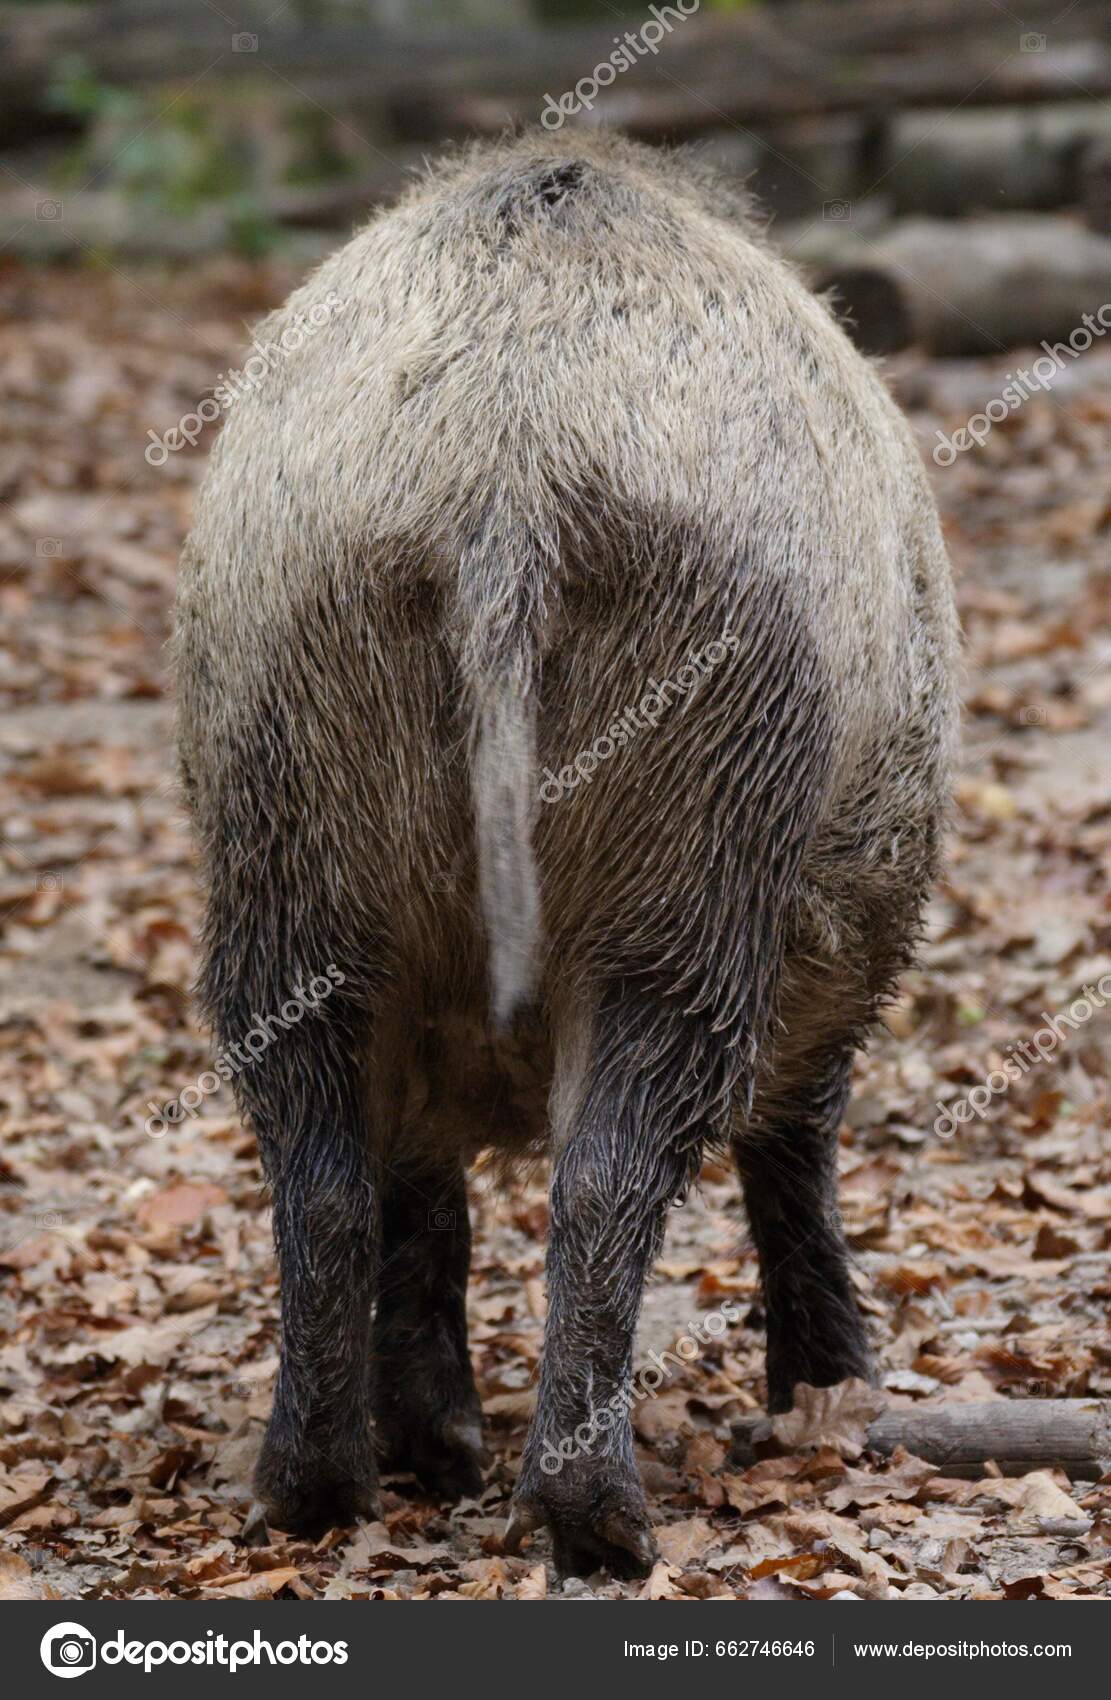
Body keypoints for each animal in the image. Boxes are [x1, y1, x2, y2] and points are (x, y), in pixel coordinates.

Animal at [173, 129, 958, 1579]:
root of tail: (504, 483)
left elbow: (417, 1191)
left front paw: (435, 1455)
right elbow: (794, 1145)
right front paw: (840, 1401)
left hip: (280, 826)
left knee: (321, 1176)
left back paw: (320, 1495)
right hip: (703, 826)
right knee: (607, 1173)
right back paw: (602, 1528)